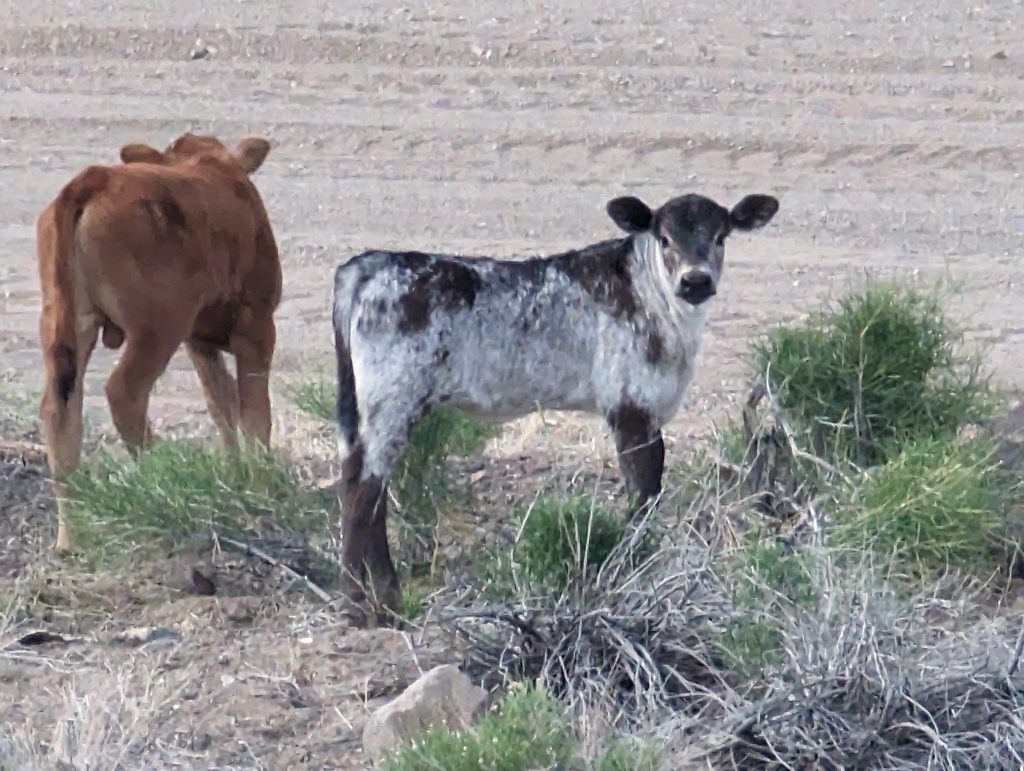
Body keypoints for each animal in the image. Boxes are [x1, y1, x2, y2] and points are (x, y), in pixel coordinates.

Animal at [36, 132, 282, 554]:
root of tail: (94, 180)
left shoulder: (199, 340)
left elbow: (222, 405)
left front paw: (234, 480)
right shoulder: (257, 326)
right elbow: (254, 413)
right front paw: (261, 491)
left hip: (66, 324)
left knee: (60, 410)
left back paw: (71, 538)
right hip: (158, 327)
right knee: (124, 392)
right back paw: (161, 476)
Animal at [330, 190, 779, 622]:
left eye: (721, 236)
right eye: (664, 238)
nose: (696, 280)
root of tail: (370, 264)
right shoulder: (630, 407)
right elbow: (643, 493)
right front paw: (638, 570)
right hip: (392, 400)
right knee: (362, 488)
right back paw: (369, 605)